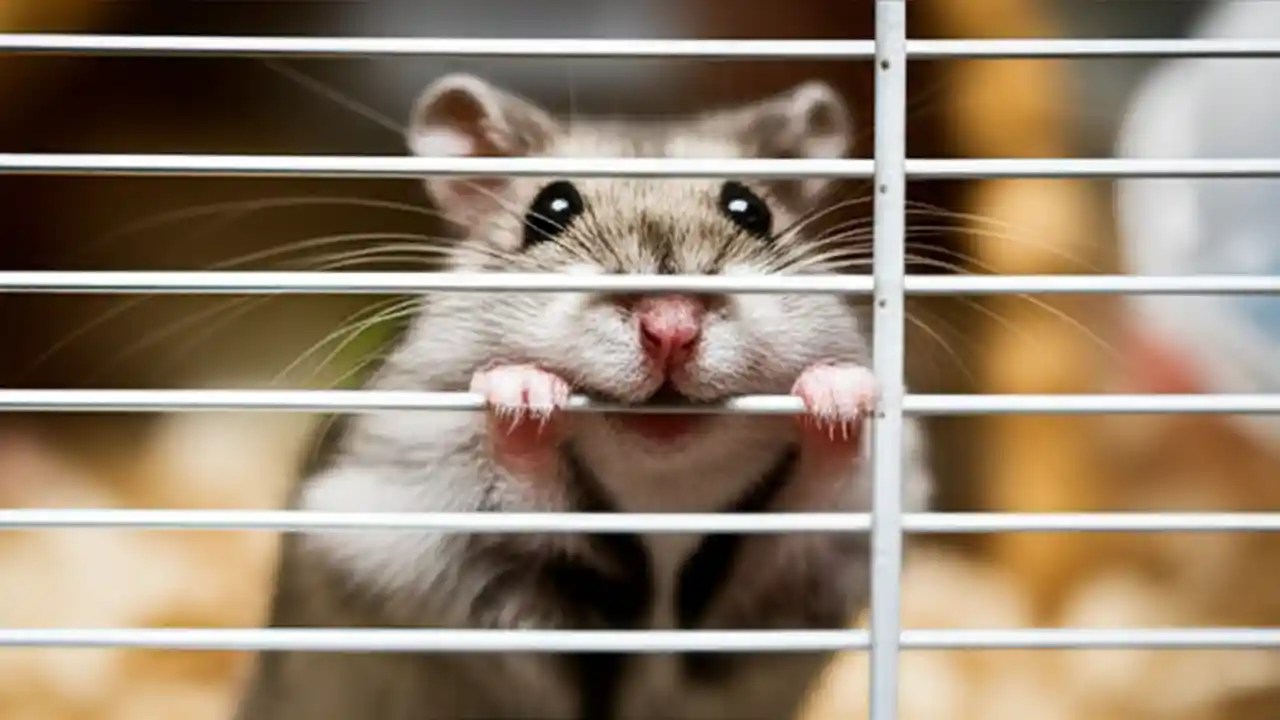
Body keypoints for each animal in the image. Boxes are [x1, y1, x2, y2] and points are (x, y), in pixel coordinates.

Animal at [234, 74, 933, 720]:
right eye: (551, 208)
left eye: (750, 210)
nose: (670, 327)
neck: (660, 490)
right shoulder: (435, 529)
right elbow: (525, 486)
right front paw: (522, 388)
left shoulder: (792, 579)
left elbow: (822, 492)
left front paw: (840, 389)